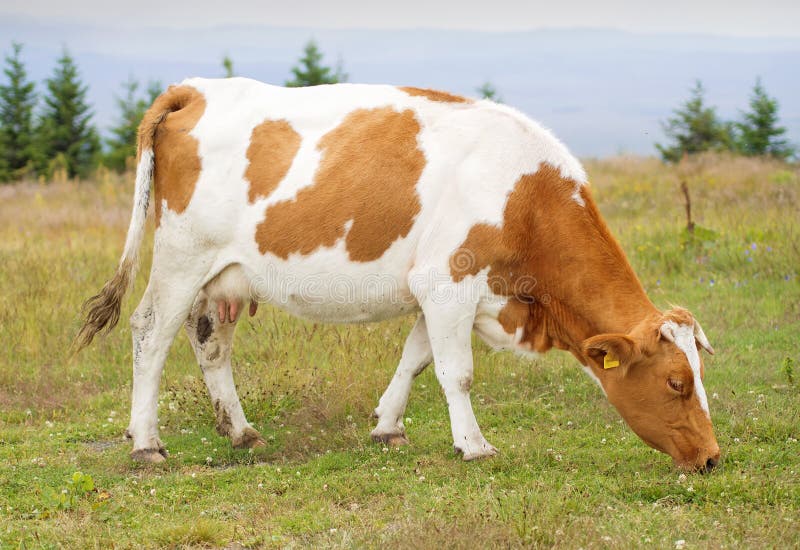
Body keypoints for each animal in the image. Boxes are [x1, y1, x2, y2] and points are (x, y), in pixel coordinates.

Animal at [76, 78, 720, 471]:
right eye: (675, 383)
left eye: (697, 377)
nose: (713, 457)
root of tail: (196, 88)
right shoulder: (449, 283)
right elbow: (457, 373)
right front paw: (474, 444)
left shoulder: (439, 292)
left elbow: (416, 358)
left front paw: (387, 426)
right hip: (183, 256)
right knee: (150, 331)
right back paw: (147, 443)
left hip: (225, 275)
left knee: (209, 342)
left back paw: (241, 432)